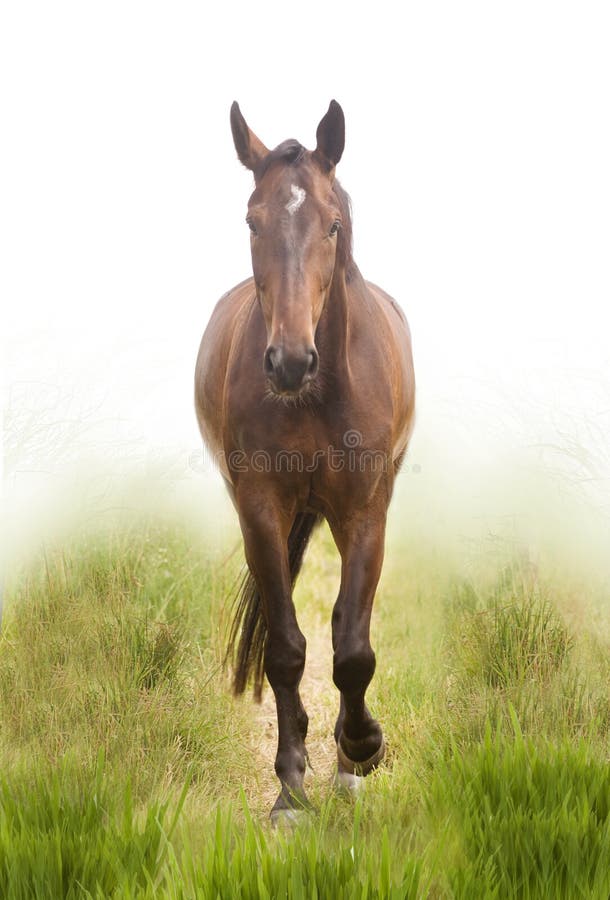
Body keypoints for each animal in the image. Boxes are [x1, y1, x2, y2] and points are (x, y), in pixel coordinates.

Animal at [195, 101, 415, 823]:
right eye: (251, 221)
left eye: (333, 223)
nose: (290, 361)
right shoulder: (262, 511)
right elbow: (286, 649)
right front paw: (291, 787)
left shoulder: (365, 512)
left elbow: (352, 646)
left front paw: (361, 749)